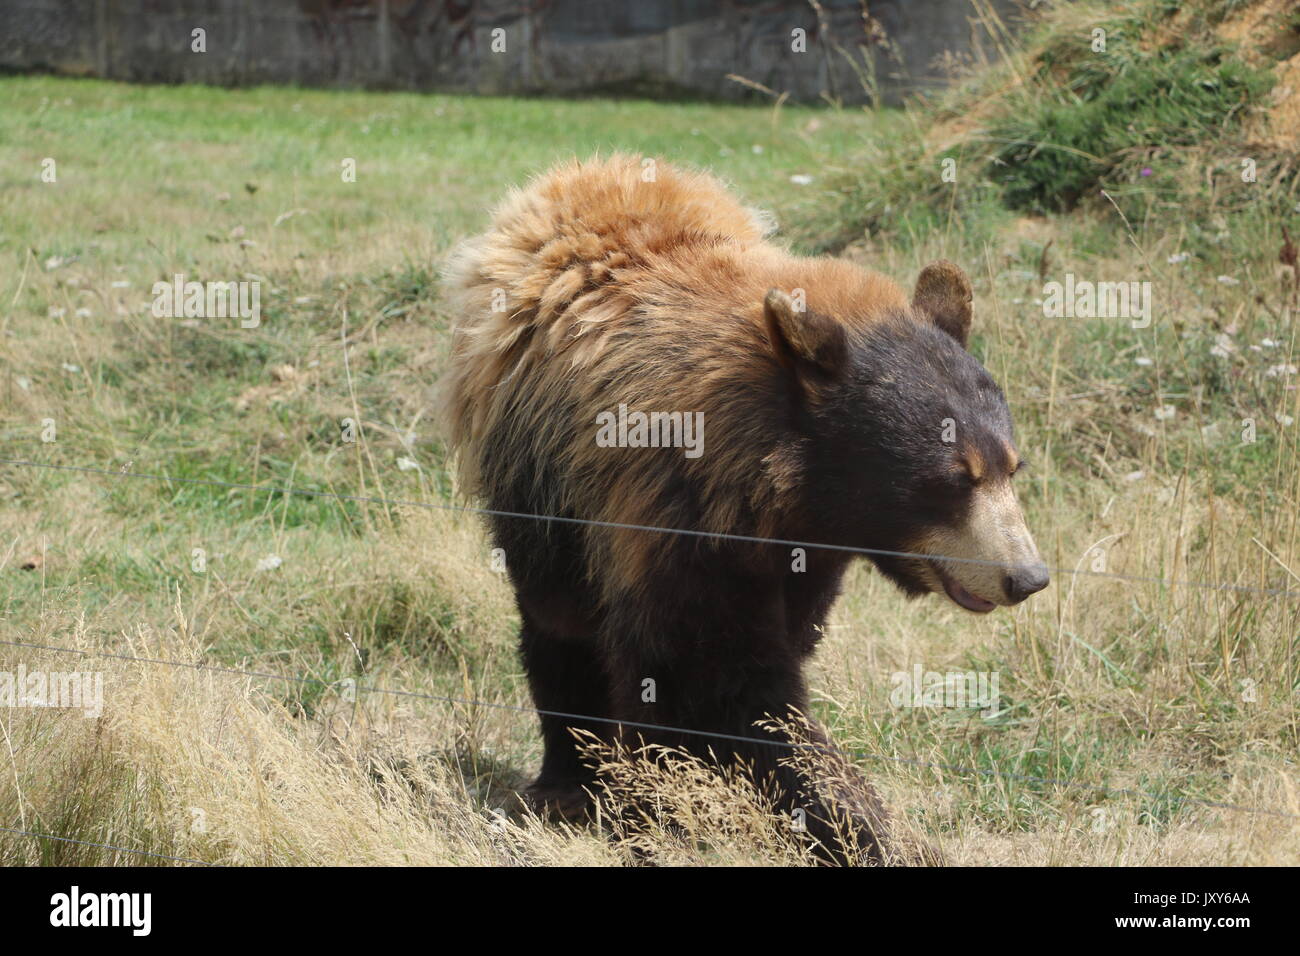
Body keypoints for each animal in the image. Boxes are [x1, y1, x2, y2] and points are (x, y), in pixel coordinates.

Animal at [441, 154, 1048, 863]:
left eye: (1011, 465)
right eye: (952, 479)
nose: (1026, 576)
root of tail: (584, 173)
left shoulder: (803, 554)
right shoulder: (673, 516)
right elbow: (711, 677)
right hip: (540, 480)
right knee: (557, 617)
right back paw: (568, 779)